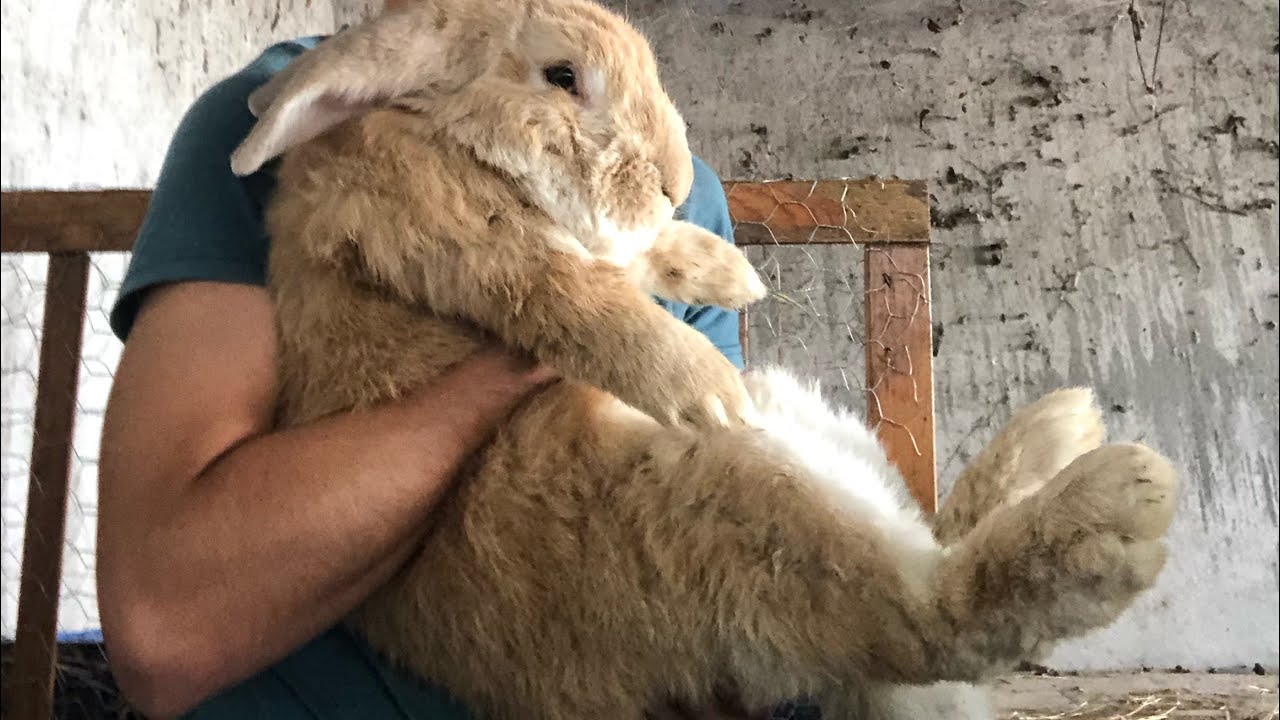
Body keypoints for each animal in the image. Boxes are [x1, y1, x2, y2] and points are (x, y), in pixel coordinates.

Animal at [227, 0, 1181, 718]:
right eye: (562, 76)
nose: (677, 181)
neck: (437, 136)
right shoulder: (468, 242)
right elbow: (584, 302)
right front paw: (704, 386)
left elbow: (644, 256)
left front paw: (729, 271)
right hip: (722, 505)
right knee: (925, 614)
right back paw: (1112, 504)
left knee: (931, 537)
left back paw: (1057, 432)